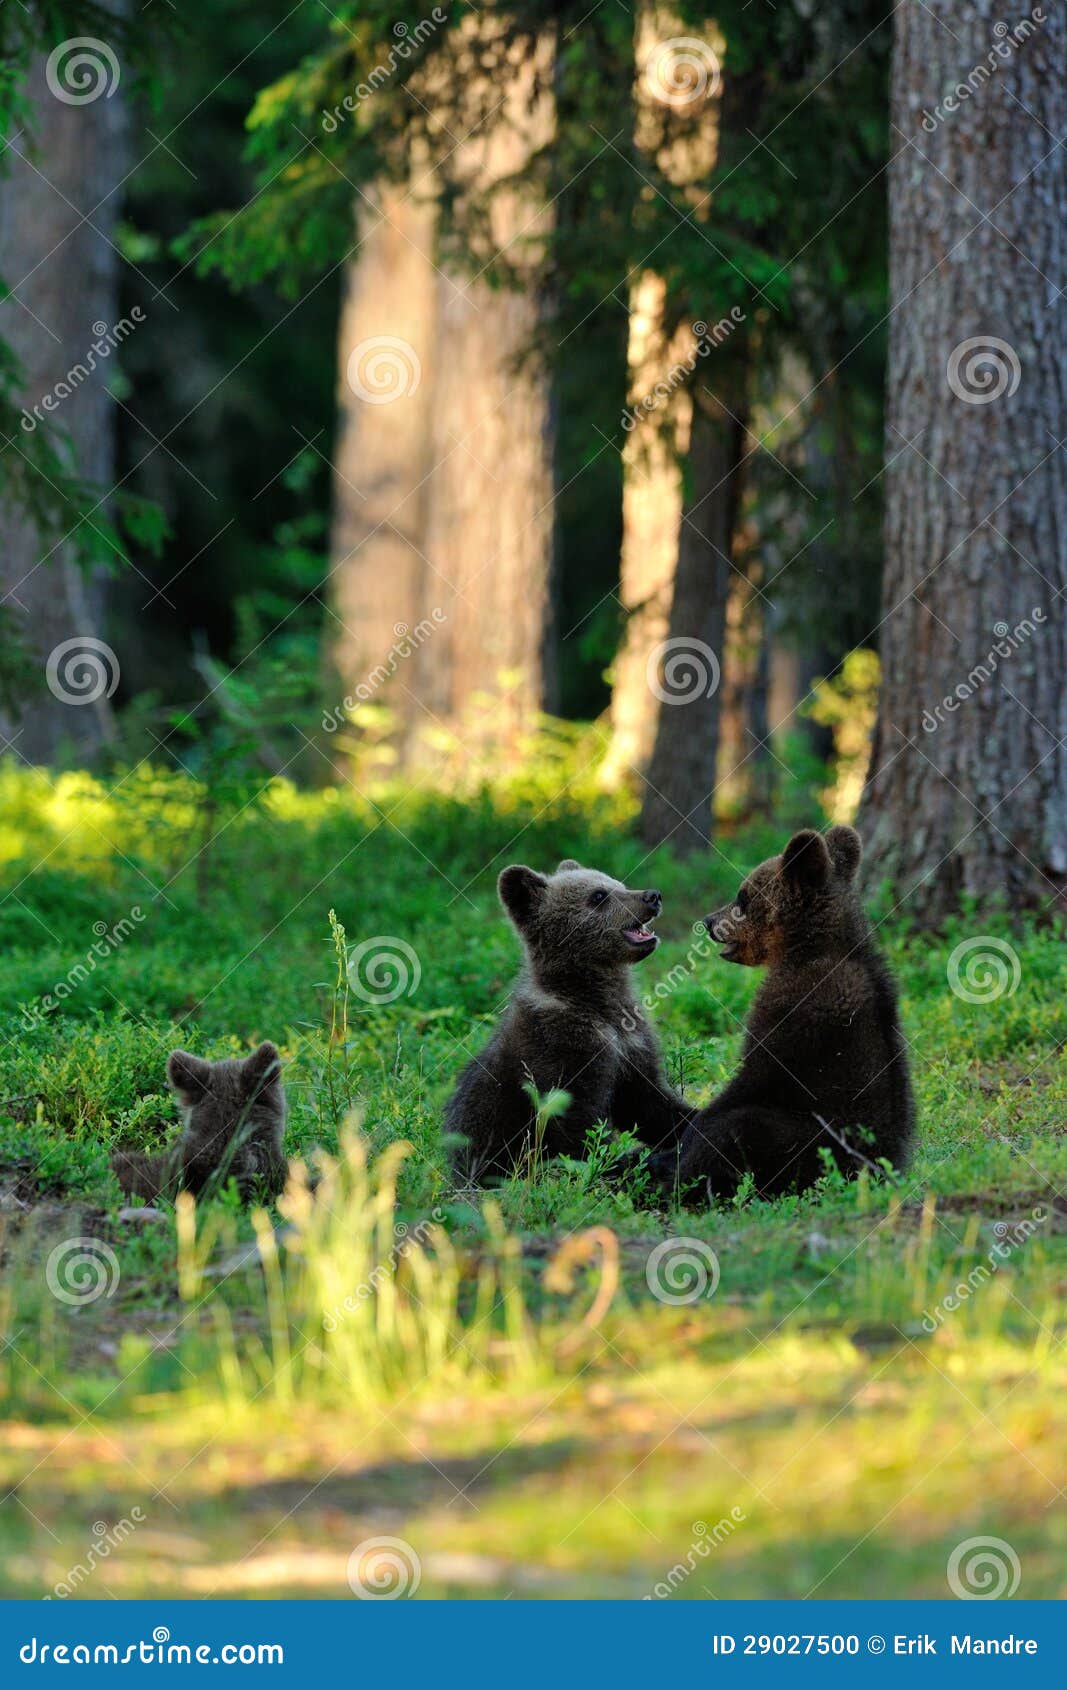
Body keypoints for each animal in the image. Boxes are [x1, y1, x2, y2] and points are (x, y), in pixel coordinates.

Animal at [446, 859, 693, 1182]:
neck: (595, 1000)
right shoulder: (561, 1048)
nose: (652, 896)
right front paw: (626, 1164)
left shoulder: (630, 1045)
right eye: (599, 895)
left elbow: (649, 1102)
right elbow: (577, 1127)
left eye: (619, 883)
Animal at [651, 825, 914, 1203]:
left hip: (809, 1142)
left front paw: (679, 1149)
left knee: (741, 1128)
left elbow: (751, 1078)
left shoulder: (800, 1008)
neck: (805, 948)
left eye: (742, 898)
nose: (709, 921)